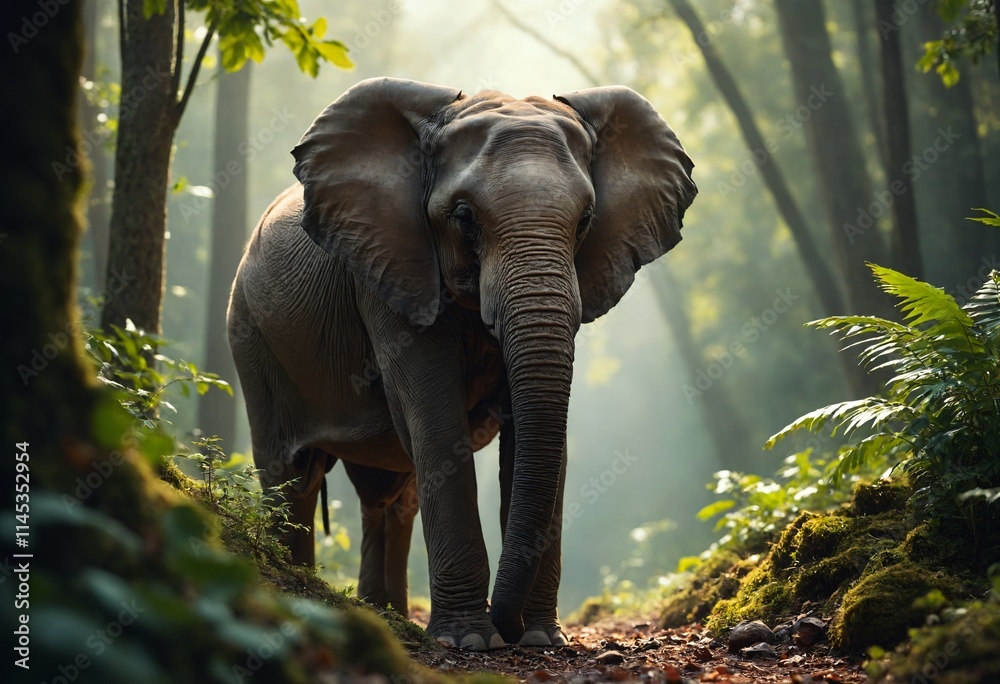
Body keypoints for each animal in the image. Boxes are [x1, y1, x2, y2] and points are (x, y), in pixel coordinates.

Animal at [227, 77, 696, 651]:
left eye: (586, 220)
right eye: (464, 217)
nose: (509, 627)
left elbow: (540, 435)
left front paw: (541, 639)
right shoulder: (389, 271)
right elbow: (436, 422)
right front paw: (470, 642)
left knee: (390, 492)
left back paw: (388, 615)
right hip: (250, 335)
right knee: (291, 475)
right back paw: (307, 590)